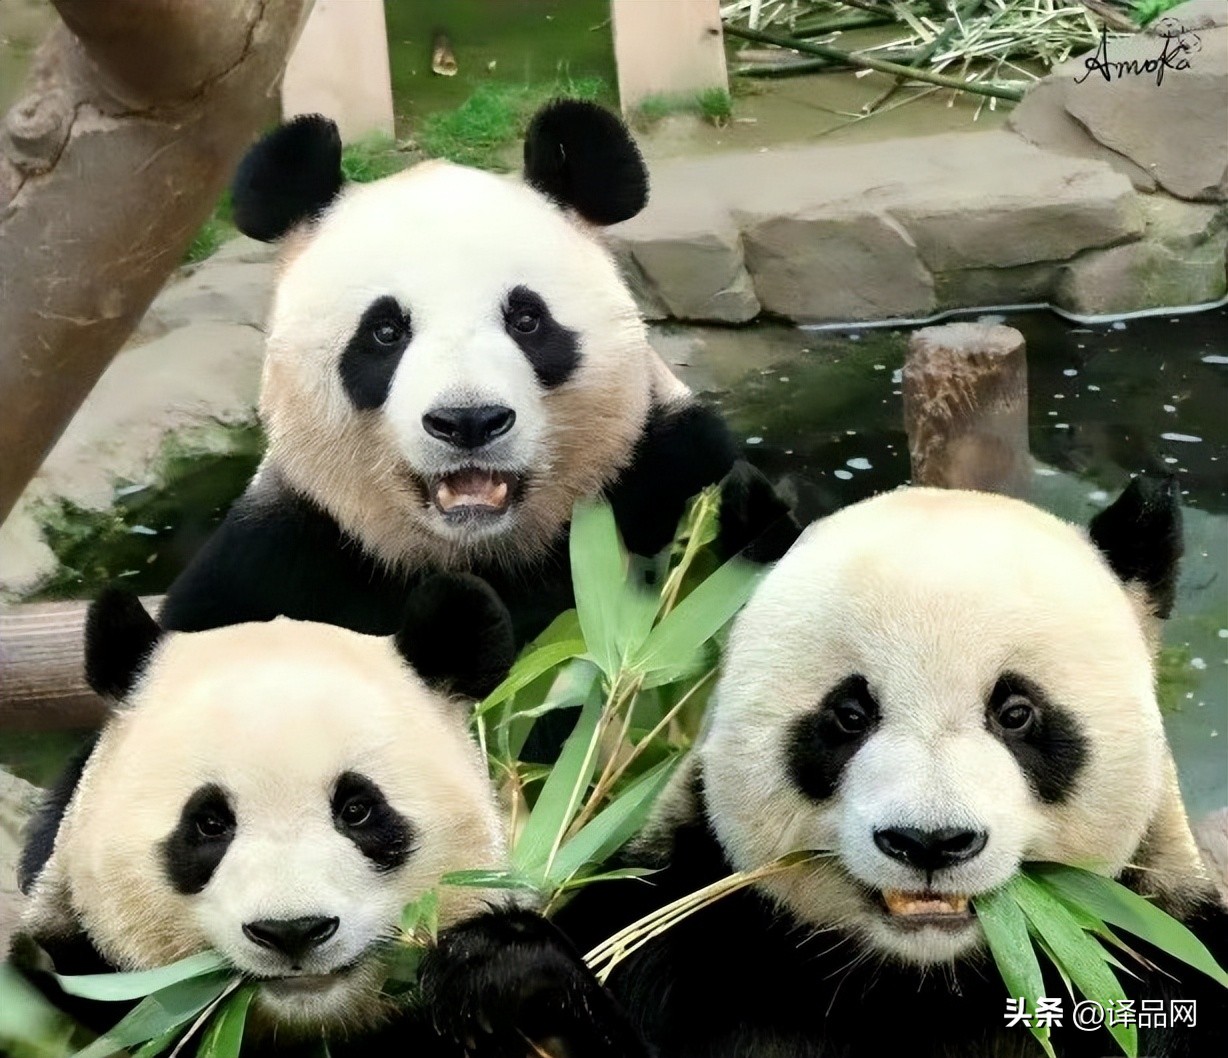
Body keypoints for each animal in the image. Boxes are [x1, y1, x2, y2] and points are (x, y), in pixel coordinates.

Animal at [159, 100, 798, 646]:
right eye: (385, 331)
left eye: (526, 319)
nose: (469, 421)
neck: (479, 548)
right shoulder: (284, 556)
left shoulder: (660, 467)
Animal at [556, 477, 1228, 1058]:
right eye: (850, 714)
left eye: (1016, 713)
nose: (930, 842)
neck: (921, 984)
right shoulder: (675, 925)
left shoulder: (1158, 948)